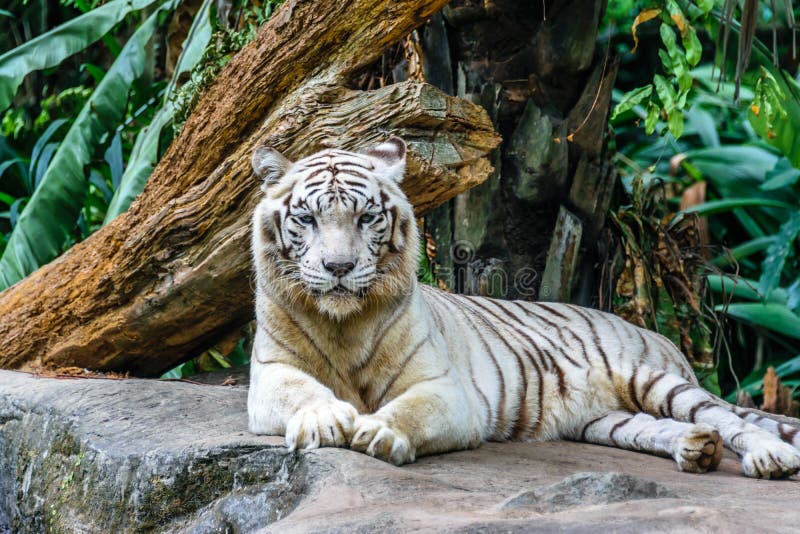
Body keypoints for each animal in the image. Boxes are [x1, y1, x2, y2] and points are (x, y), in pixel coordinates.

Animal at [247, 136, 800, 479]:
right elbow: (300, 391)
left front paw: (380, 430)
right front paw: (324, 420)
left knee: (732, 419)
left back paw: (770, 456)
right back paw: (697, 449)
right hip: (606, 420)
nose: (339, 267)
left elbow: (411, 408)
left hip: (652, 379)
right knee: (662, 428)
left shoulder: (446, 389)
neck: (344, 324)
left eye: (365, 218)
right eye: (307, 219)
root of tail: (664, 339)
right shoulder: (270, 374)